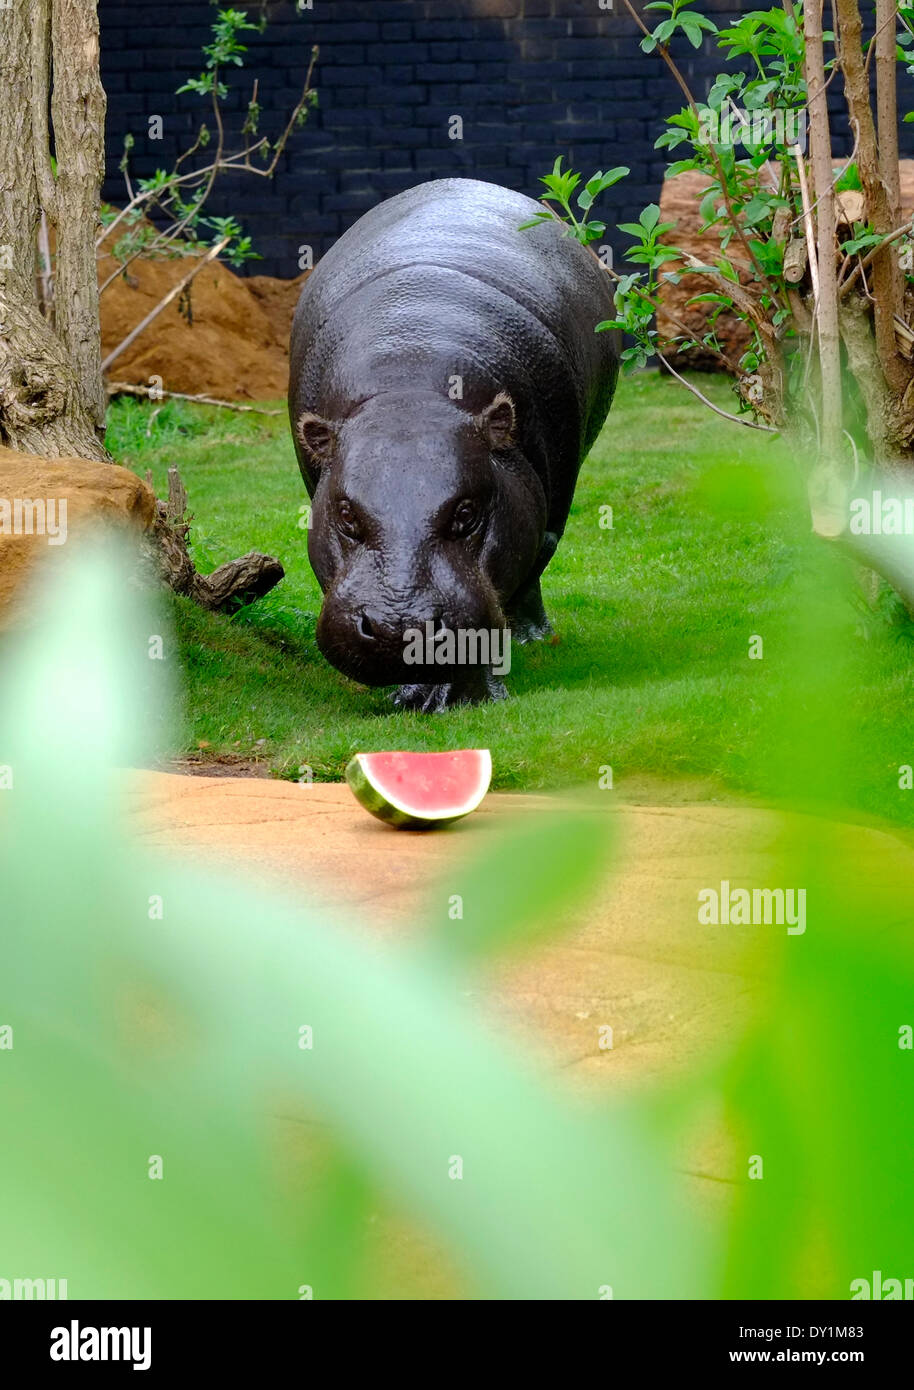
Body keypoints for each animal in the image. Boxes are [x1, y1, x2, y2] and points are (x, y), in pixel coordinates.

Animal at [289, 177, 619, 712]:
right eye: (345, 515)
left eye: (466, 512)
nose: (400, 627)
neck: (408, 384)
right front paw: (412, 696)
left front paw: (458, 699)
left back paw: (534, 638)